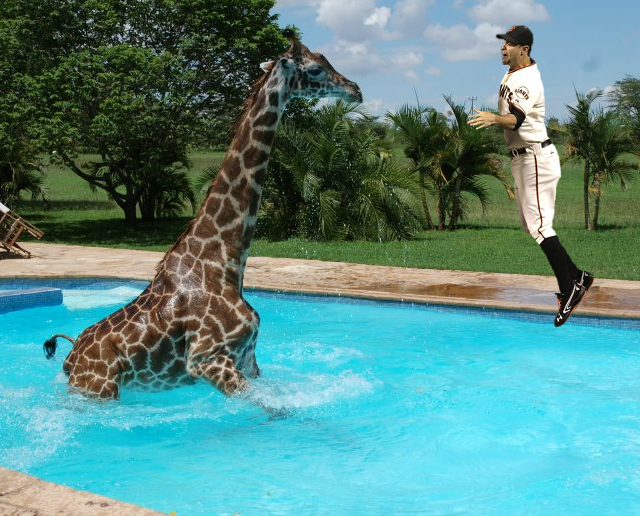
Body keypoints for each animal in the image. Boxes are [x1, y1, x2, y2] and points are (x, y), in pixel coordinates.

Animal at [43, 35, 362, 400]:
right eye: (315, 69)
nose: (355, 89)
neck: (225, 260)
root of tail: (70, 357)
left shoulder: (248, 359)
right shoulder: (209, 359)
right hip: (99, 388)